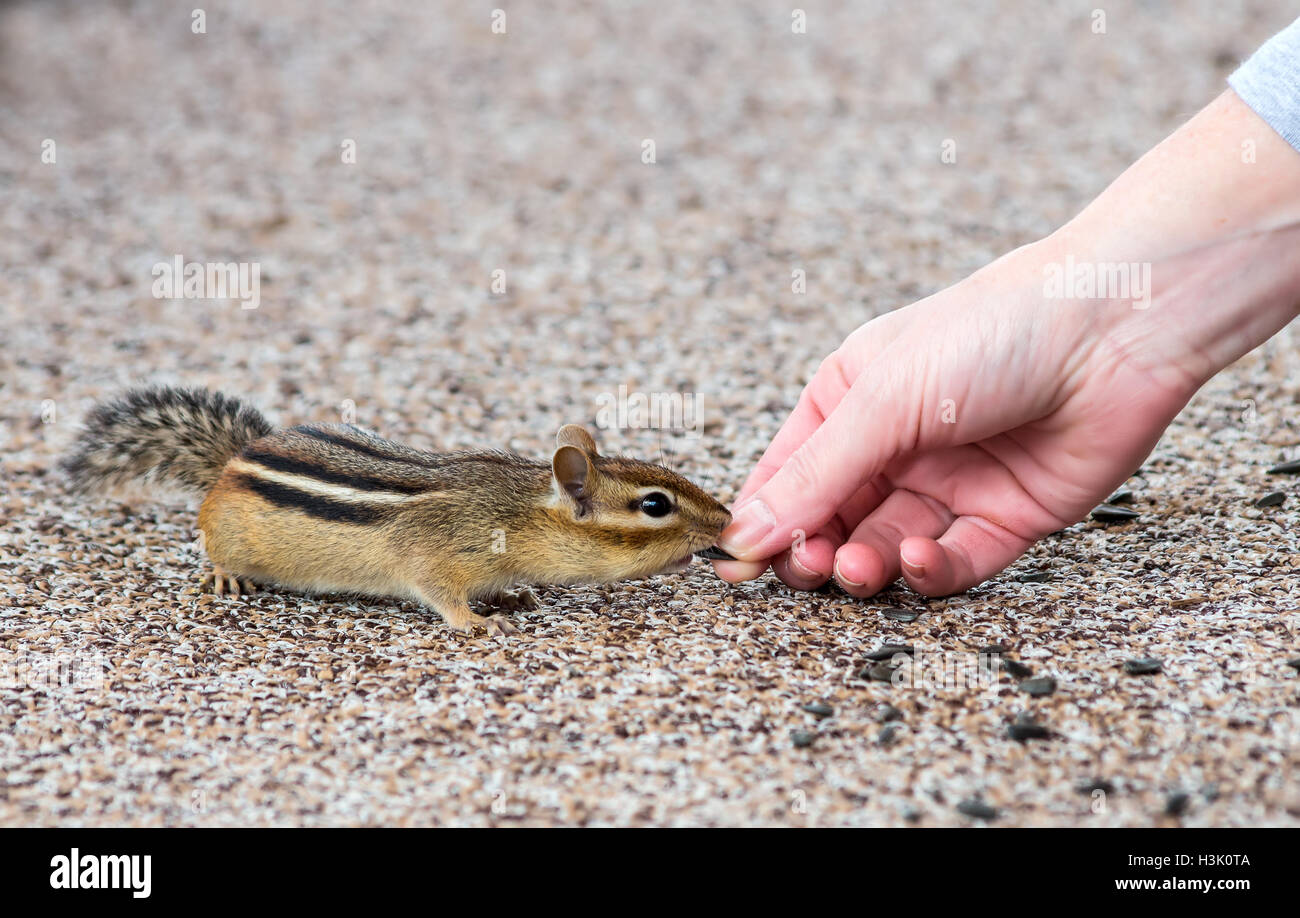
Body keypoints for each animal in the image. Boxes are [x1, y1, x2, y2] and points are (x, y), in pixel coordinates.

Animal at [62, 386, 733, 635]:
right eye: (655, 505)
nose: (726, 520)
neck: (515, 511)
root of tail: (231, 462)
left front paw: (513, 596)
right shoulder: (435, 554)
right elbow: (438, 593)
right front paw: (478, 621)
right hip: (226, 536)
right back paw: (226, 575)